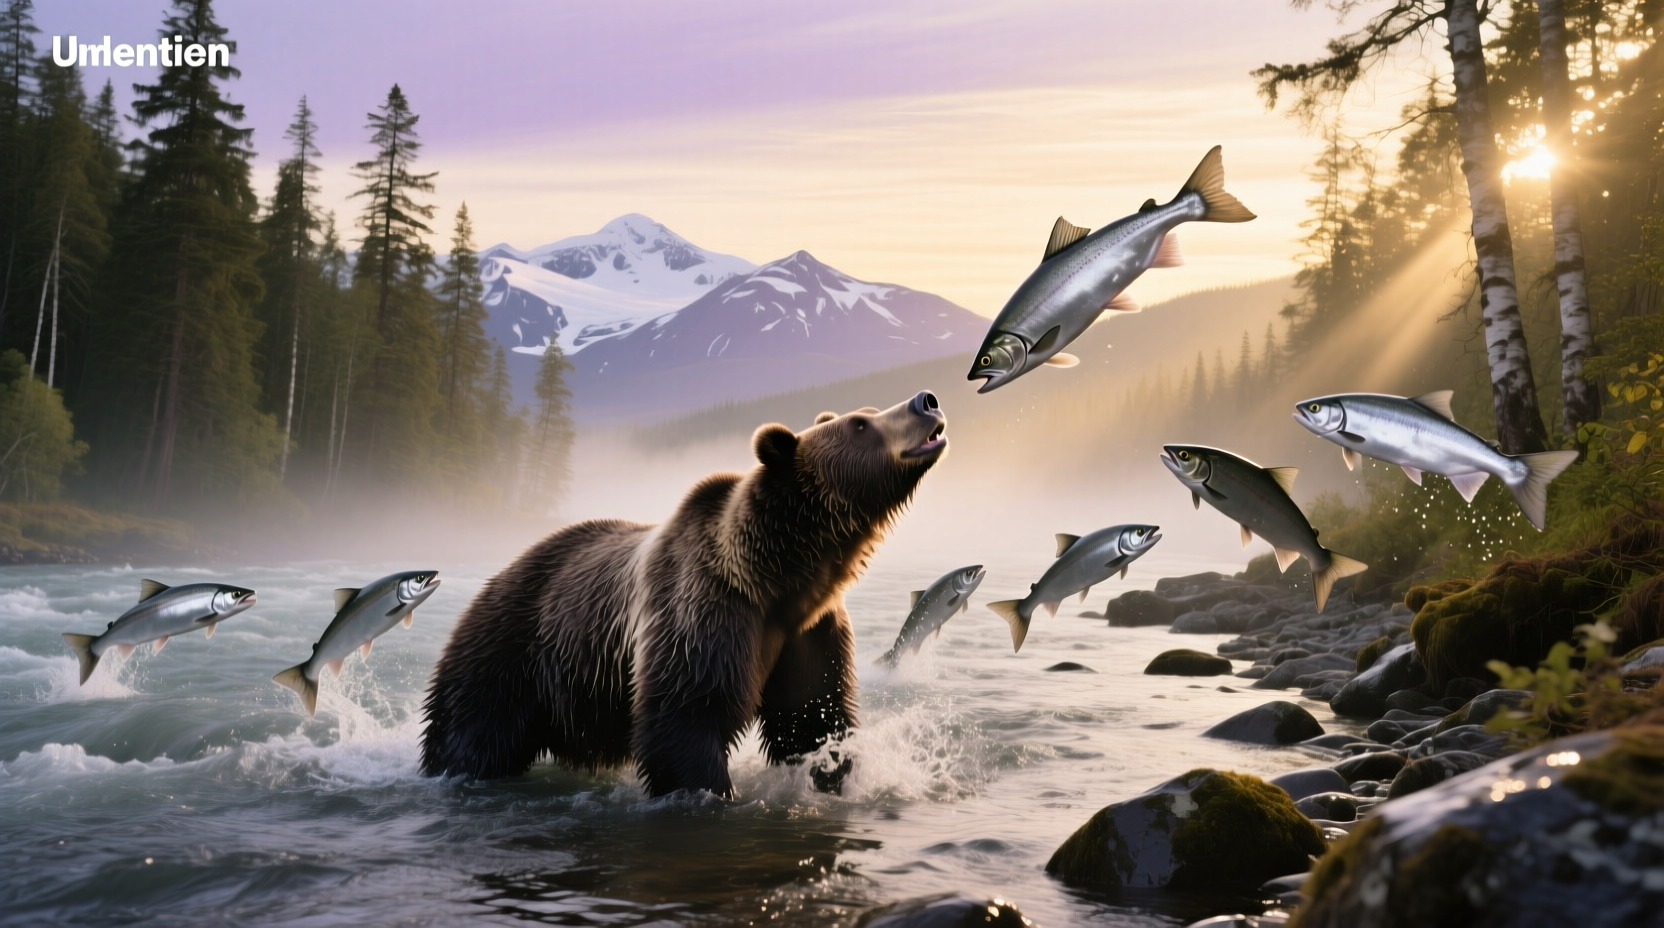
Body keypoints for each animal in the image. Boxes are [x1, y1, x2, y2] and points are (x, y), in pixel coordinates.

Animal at [419, 390, 947, 797]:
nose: (927, 401)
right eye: (860, 424)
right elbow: (686, 718)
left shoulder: (810, 630)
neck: (780, 576)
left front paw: (831, 776)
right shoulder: (706, 607)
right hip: (510, 655)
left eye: (868, 410)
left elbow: (811, 717)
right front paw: (709, 792)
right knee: (471, 734)